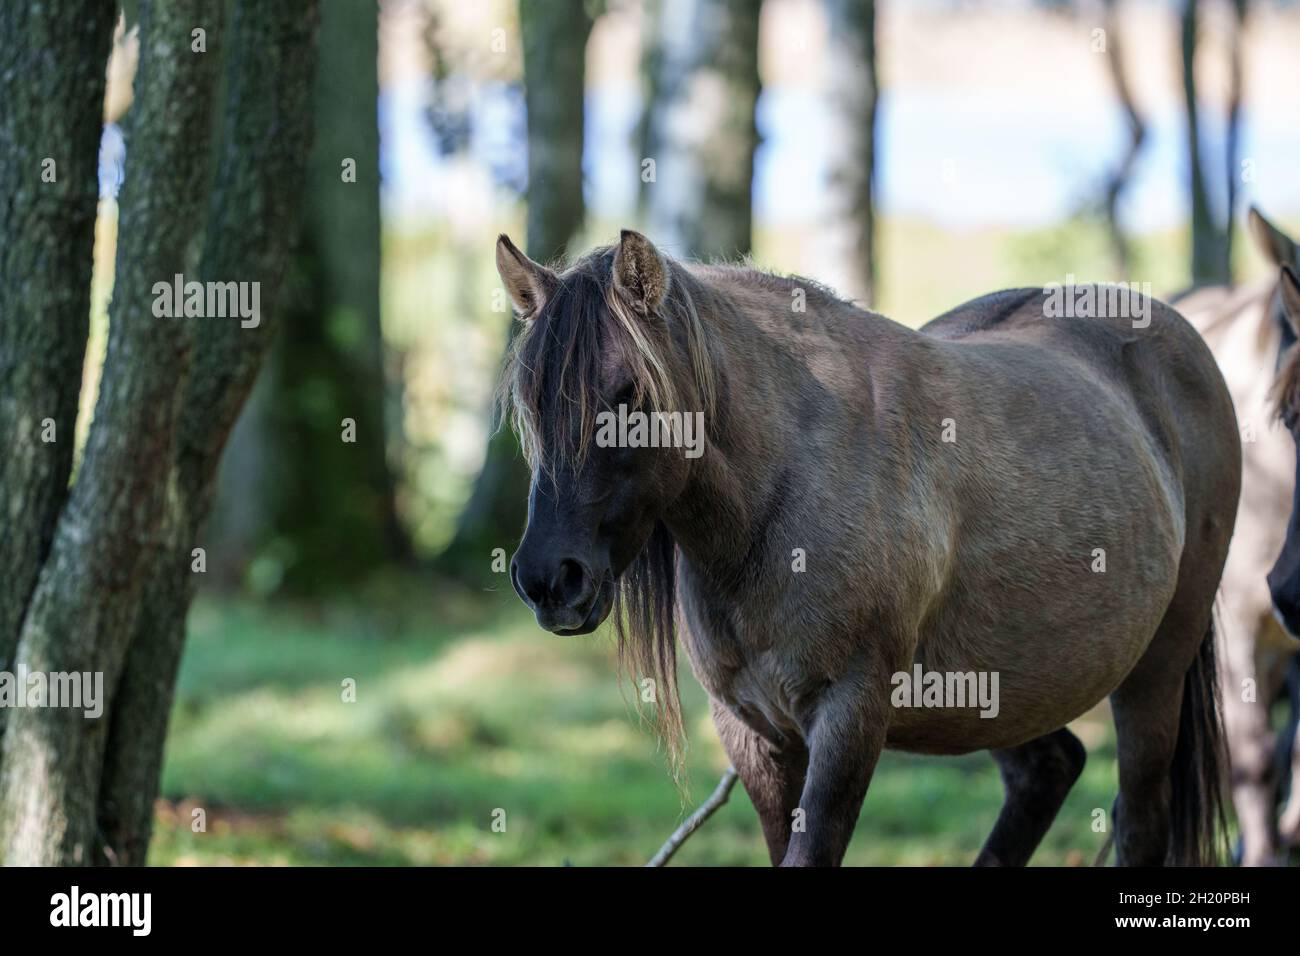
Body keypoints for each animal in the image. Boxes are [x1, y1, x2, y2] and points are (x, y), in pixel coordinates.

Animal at [497, 228, 1240, 866]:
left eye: (628, 392)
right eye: (531, 401)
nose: (548, 580)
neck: (781, 492)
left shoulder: (848, 718)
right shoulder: (755, 735)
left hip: (1154, 674)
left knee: (1138, 820)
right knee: (1048, 771)